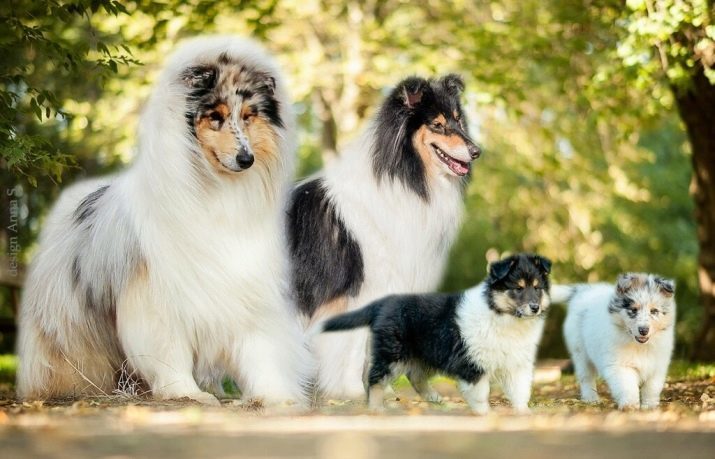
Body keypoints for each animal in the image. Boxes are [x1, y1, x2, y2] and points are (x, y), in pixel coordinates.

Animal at [320, 253, 552, 416]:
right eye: (518, 288)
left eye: (537, 288)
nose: (535, 308)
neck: (501, 314)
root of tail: (382, 303)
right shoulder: (471, 363)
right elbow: (480, 392)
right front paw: (485, 414)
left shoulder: (517, 364)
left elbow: (520, 390)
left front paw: (524, 413)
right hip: (393, 352)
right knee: (375, 378)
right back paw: (376, 408)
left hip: (428, 351)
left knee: (414, 376)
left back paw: (433, 397)